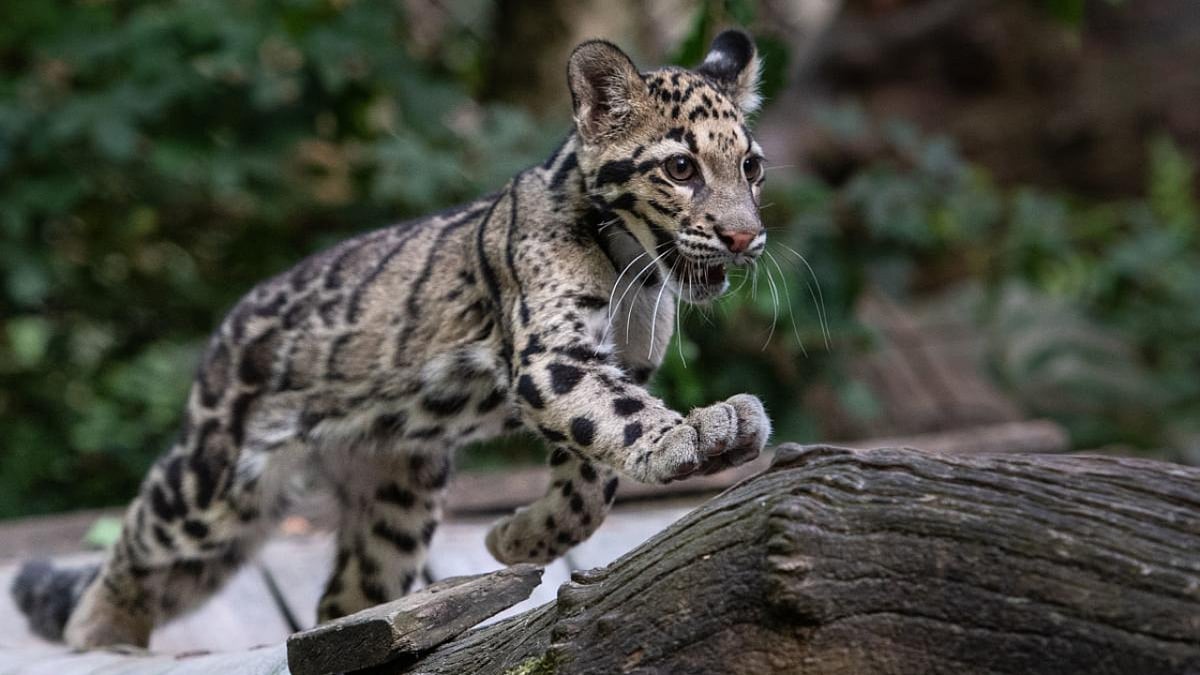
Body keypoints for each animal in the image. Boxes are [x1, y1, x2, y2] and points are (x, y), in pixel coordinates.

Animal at [11, 29, 772, 649]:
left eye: (751, 168)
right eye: (680, 168)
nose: (746, 237)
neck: (634, 270)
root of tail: (229, 324)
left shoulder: (615, 366)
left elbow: (593, 484)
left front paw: (517, 537)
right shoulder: (551, 357)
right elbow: (621, 420)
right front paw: (691, 433)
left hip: (393, 503)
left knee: (341, 598)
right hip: (210, 478)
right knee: (140, 537)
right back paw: (101, 628)